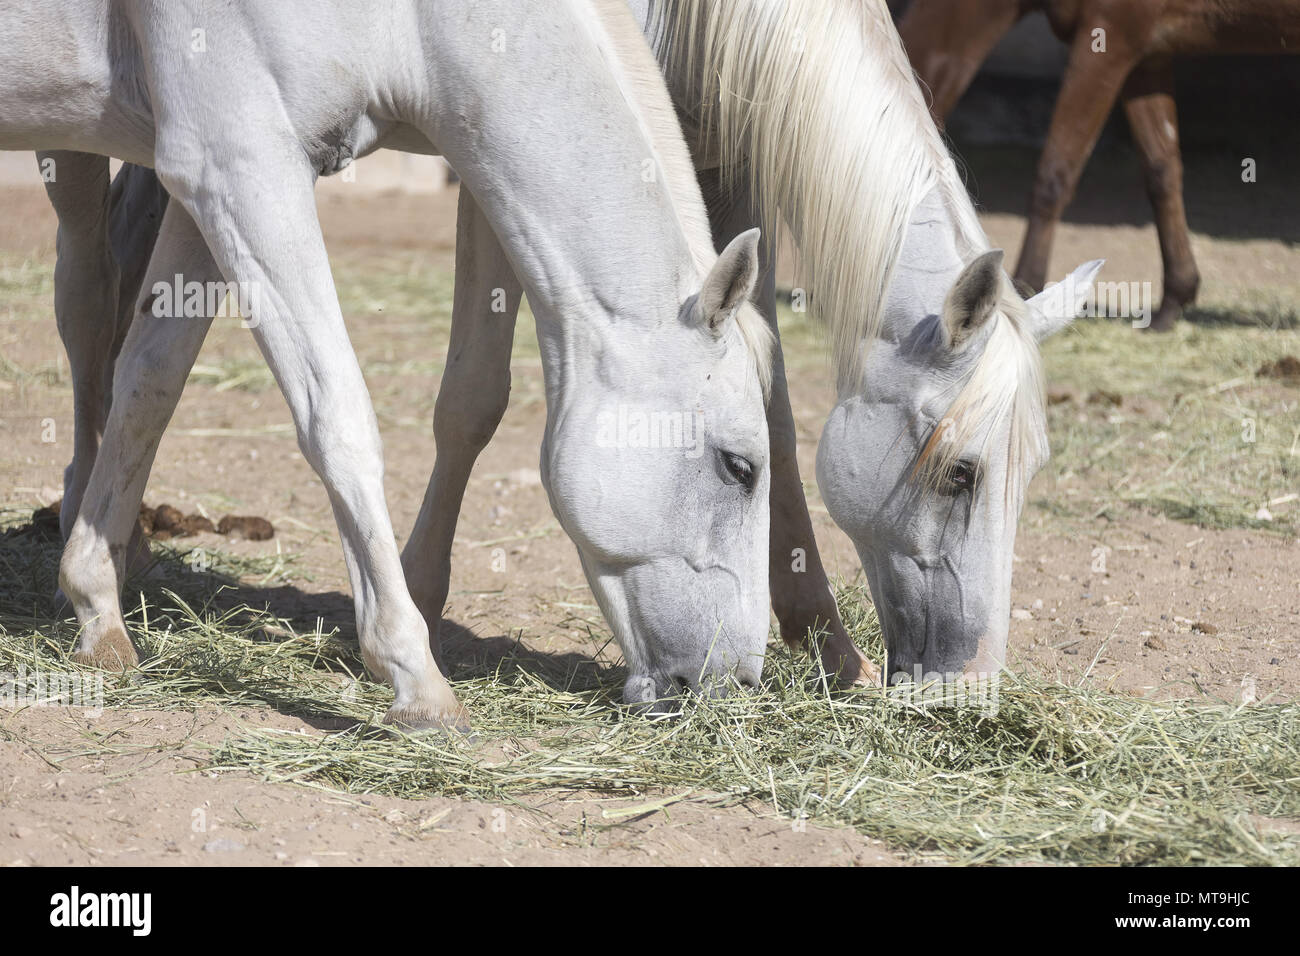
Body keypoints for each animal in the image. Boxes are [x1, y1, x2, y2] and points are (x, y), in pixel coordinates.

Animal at [1, 0, 777, 726]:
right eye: (739, 467)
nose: (737, 682)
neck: (408, 22)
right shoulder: (239, 165)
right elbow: (337, 418)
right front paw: (414, 676)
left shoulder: (201, 189)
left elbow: (151, 382)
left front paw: (97, 603)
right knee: (84, 295)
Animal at [898, 0, 1300, 330]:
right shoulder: (1147, 56)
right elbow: (1162, 171)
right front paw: (1174, 299)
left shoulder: (1109, 42)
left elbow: (1055, 173)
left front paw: (1026, 291)